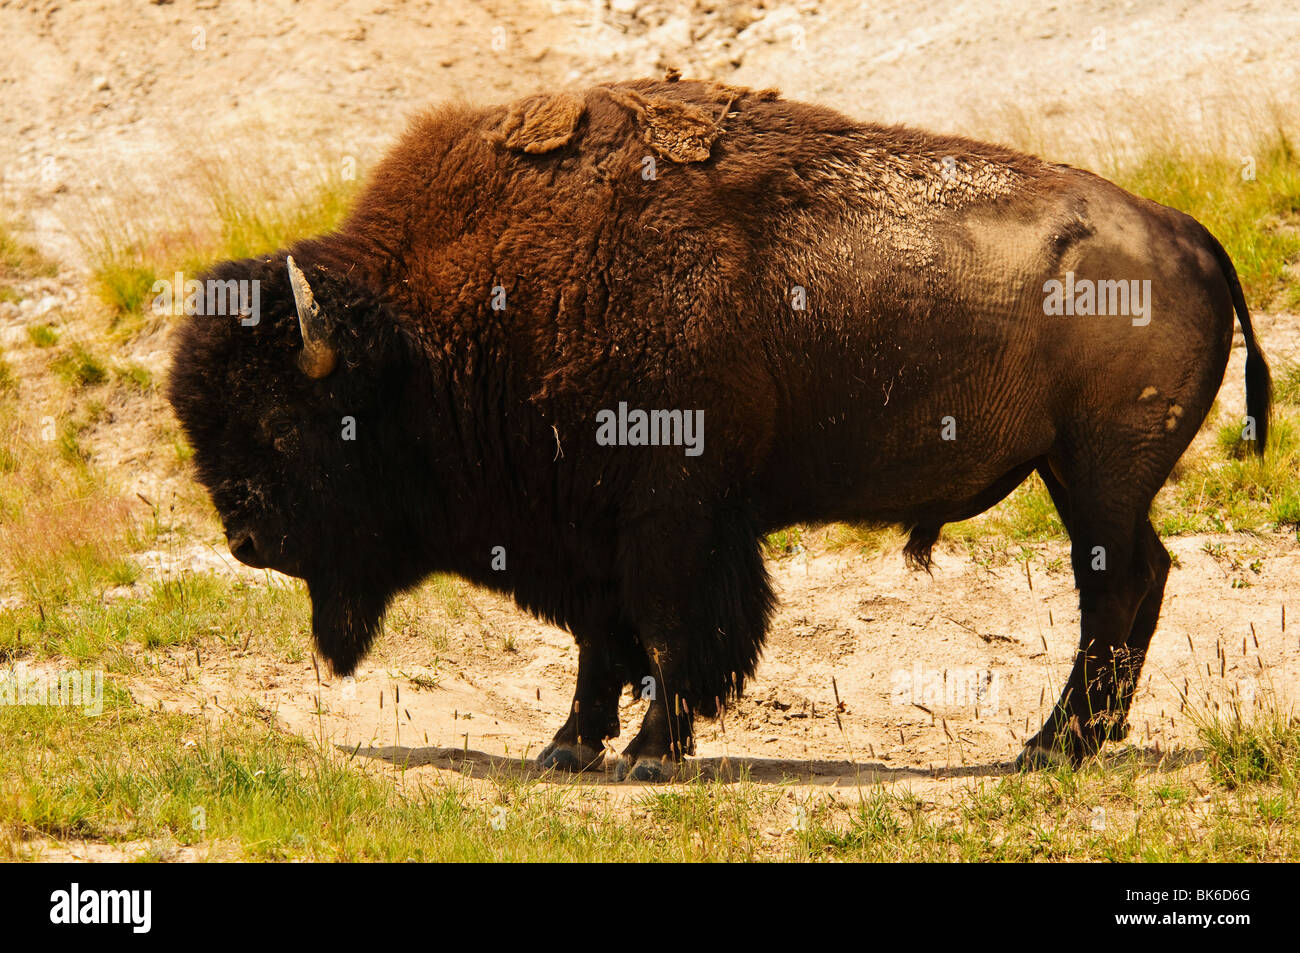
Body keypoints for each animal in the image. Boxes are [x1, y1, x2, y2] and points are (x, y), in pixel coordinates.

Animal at [168, 77, 1271, 780]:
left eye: (285, 421)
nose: (247, 540)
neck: (433, 334)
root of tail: (1182, 229)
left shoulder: (672, 518)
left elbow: (671, 630)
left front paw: (652, 754)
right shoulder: (587, 532)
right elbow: (602, 641)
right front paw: (568, 745)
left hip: (1095, 477)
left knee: (1113, 587)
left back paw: (1050, 745)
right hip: (1087, 479)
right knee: (1142, 578)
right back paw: (1078, 740)